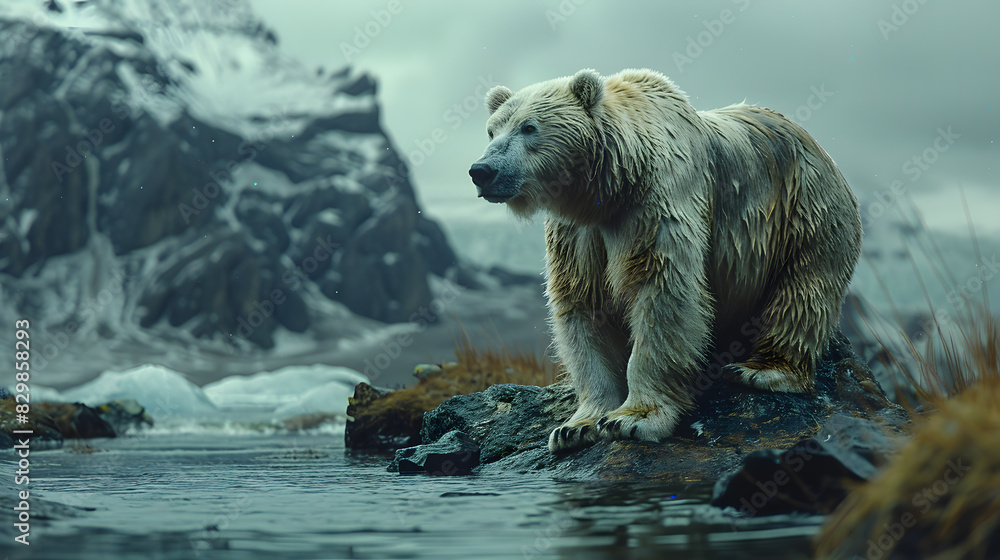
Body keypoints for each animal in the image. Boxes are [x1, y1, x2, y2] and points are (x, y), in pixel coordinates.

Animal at [468, 68, 863, 453]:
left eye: (529, 127)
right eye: (492, 129)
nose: (481, 170)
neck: (610, 187)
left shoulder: (659, 203)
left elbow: (663, 292)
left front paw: (632, 418)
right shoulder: (577, 234)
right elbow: (582, 306)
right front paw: (575, 427)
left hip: (804, 211)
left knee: (803, 290)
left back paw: (763, 369)